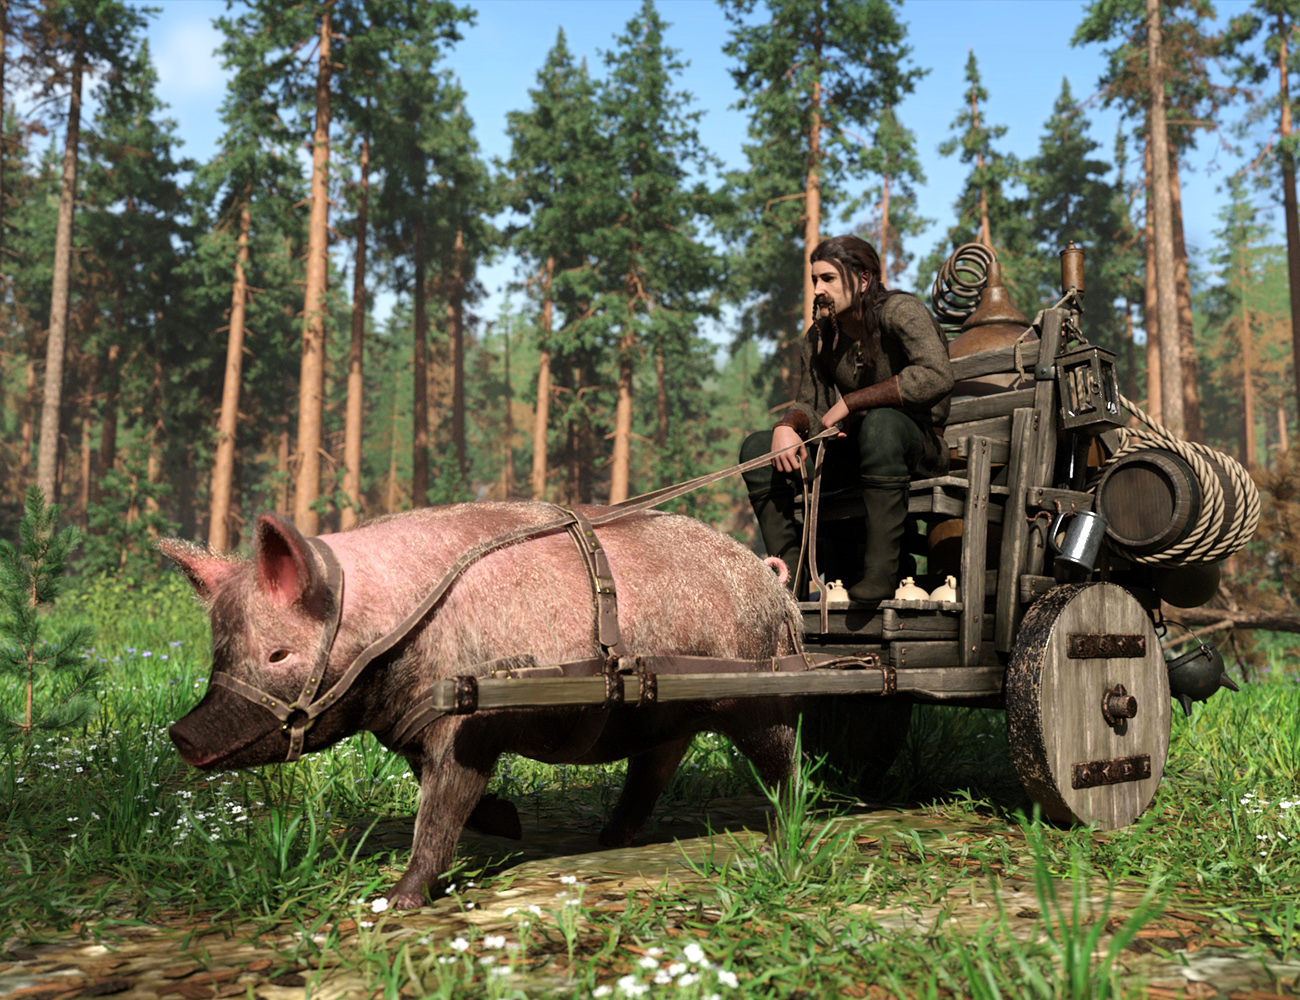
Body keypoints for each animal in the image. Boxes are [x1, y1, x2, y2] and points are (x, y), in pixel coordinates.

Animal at [160, 501, 804, 909]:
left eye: (277, 654)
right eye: (219, 649)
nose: (182, 735)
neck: (395, 629)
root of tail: (773, 582)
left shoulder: (472, 722)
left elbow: (442, 806)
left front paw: (396, 901)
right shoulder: (414, 724)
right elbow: (438, 788)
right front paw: (509, 823)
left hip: (755, 691)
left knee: (781, 757)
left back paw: (783, 834)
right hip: (664, 707)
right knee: (658, 762)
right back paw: (609, 839)